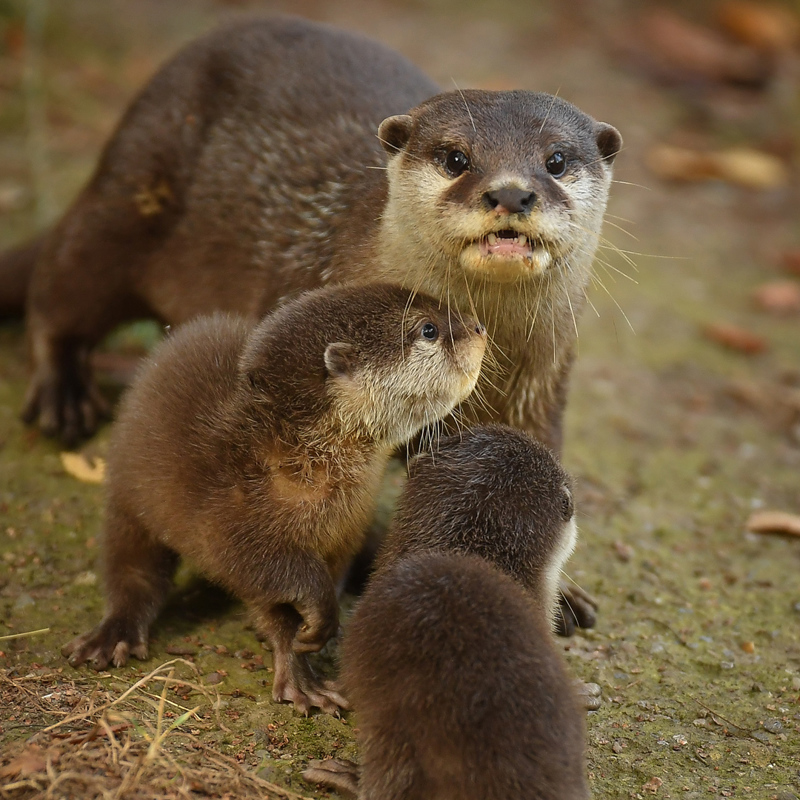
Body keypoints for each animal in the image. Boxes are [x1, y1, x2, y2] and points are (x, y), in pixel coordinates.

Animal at [61, 284, 487, 715]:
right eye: (429, 329)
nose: (479, 327)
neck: (298, 461)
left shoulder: (343, 538)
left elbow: (294, 607)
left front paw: (312, 650)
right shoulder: (233, 529)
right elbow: (272, 580)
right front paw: (306, 667)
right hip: (128, 493)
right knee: (131, 568)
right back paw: (112, 636)